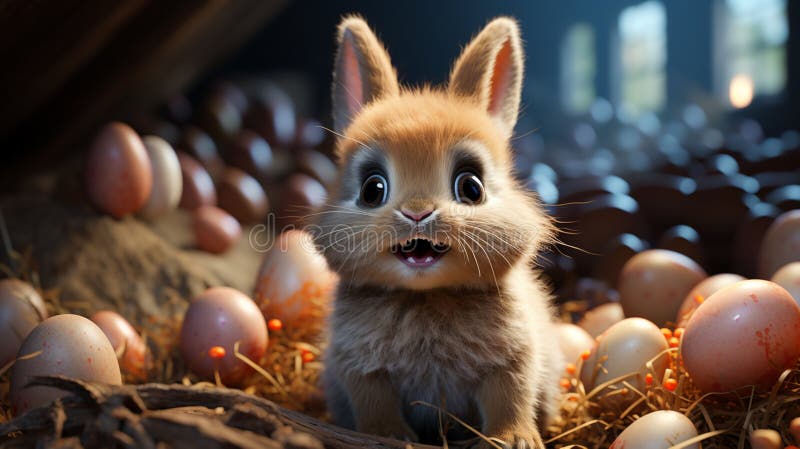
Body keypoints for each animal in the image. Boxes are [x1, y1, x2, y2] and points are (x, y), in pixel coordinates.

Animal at [312, 15, 563, 449]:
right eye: (372, 189)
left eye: (471, 187)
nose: (417, 212)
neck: (425, 296)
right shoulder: (362, 372)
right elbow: (375, 406)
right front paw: (386, 436)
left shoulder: (512, 361)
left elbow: (510, 398)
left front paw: (513, 439)